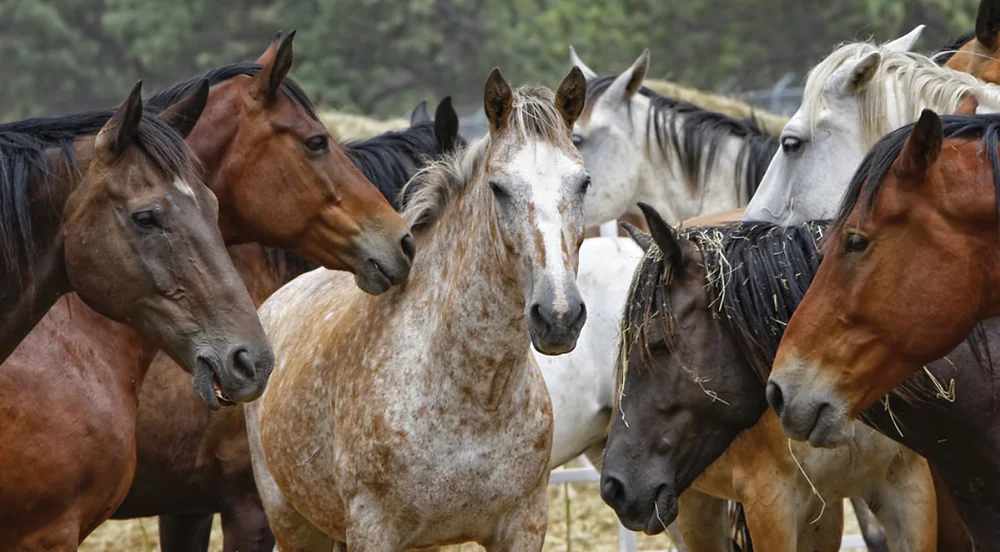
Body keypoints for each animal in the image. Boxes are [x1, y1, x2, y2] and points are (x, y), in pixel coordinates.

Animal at [0, 32, 410, 550]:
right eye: (316, 142)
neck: (71, 346)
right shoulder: (244, 507)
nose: (402, 240)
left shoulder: (186, 506)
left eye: (213, 206)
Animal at [246, 67, 589, 551]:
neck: (474, 397)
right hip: (293, 523)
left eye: (583, 182)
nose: (558, 315)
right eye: (498, 188)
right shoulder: (374, 530)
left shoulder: (522, 526)